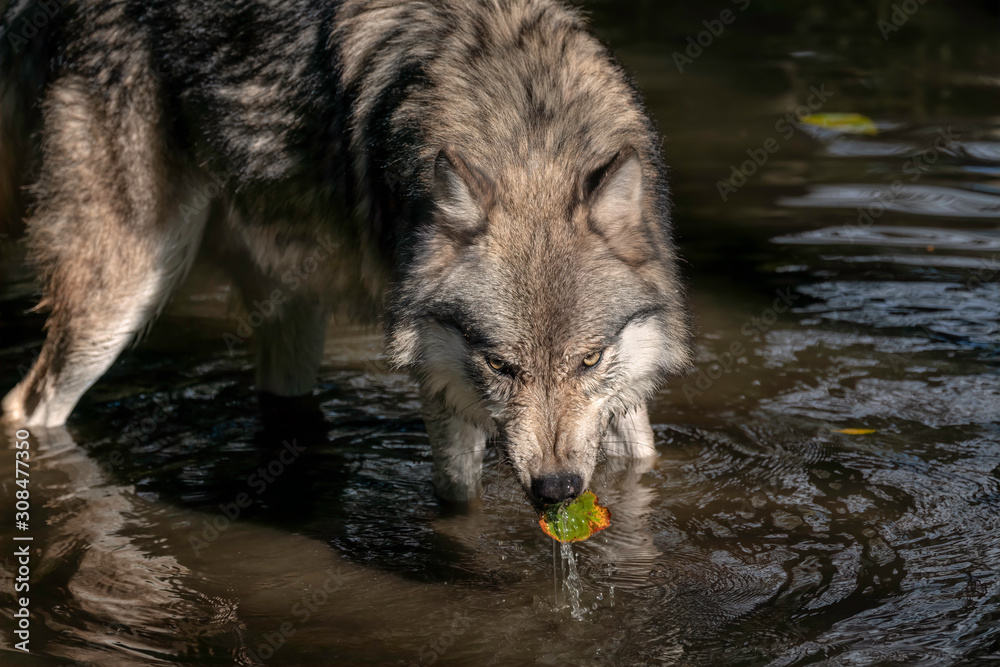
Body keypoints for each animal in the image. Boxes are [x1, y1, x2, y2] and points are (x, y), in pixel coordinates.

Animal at [0, 0, 693, 504]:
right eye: (499, 365)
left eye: (589, 359)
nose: (557, 490)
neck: (528, 133)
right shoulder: (436, 379)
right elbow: (458, 497)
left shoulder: (621, 393)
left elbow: (642, 457)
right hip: (121, 298)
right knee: (23, 406)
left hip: (290, 314)